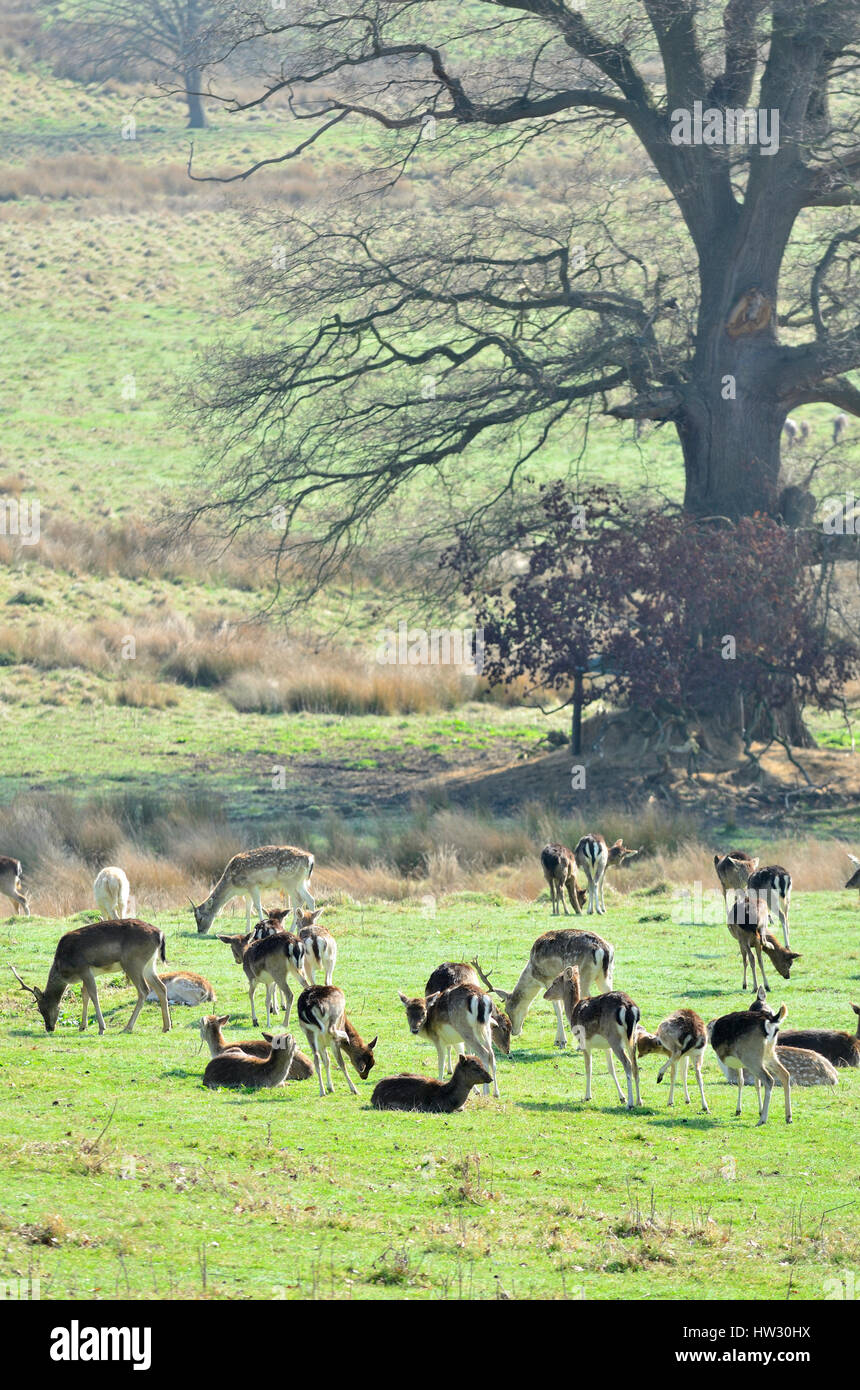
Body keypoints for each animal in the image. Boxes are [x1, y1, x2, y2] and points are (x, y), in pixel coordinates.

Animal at [10, 919, 171, 1035]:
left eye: (42, 1008)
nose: (49, 1028)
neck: (64, 968)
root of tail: (160, 934)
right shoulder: (86, 974)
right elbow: (85, 994)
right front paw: (82, 1026)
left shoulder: (84, 969)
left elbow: (93, 994)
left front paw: (101, 1028)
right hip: (149, 965)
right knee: (161, 987)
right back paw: (166, 1026)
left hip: (133, 963)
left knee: (144, 990)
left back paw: (128, 1027)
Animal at [474, 927, 614, 1046]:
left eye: (508, 1009)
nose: (514, 1032)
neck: (533, 973)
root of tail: (603, 950)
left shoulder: (548, 979)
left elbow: (557, 1008)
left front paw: (560, 1041)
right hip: (606, 977)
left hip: (584, 977)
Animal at [543, 965, 642, 1108]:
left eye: (555, 982)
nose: (545, 995)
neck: (573, 1011)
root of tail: (629, 1007)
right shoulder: (606, 1046)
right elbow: (611, 1069)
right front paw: (621, 1097)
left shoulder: (584, 1042)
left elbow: (588, 1068)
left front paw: (587, 1096)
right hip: (632, 1037)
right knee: (635, 1066)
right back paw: (639, 1101)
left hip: (615, 1038)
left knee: (627, 1064)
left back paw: (630, 1103)